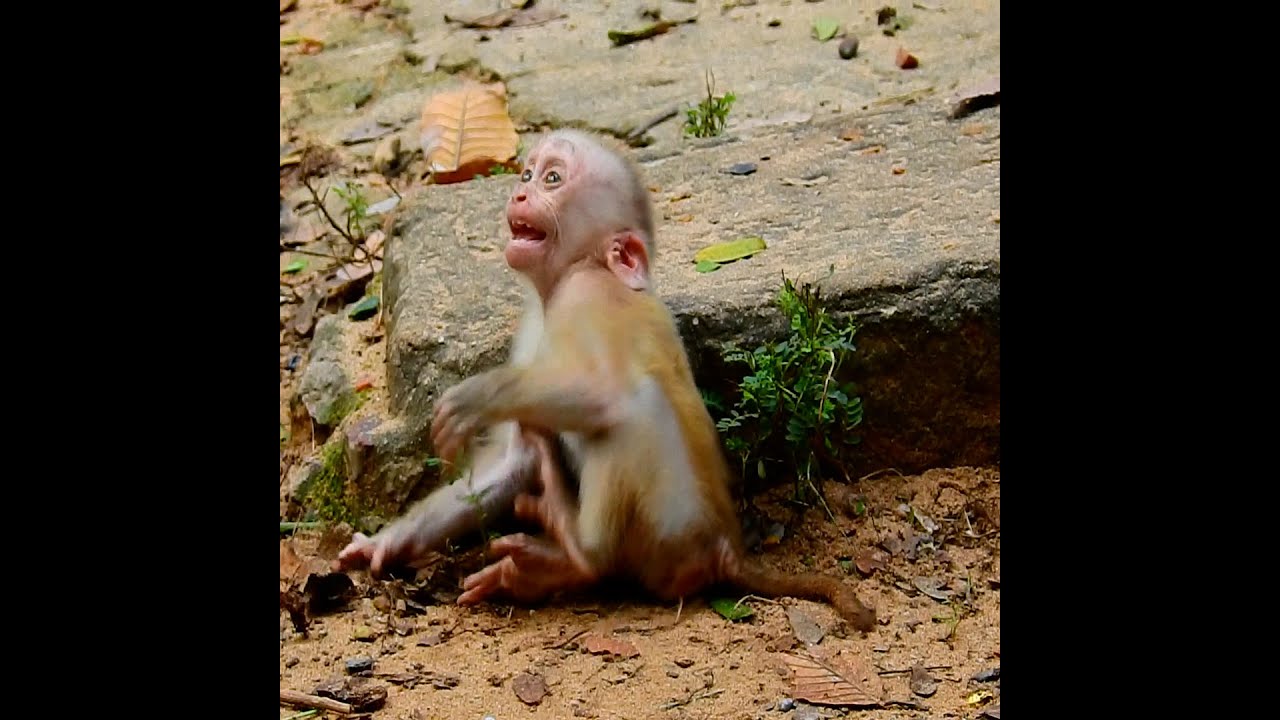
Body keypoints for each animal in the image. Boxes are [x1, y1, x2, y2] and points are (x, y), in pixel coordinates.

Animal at [430, 129, 877, 631]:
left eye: (552, 179)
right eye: (526, 175)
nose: (519, 193)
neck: (580, 269)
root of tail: (724, 544)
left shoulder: (582, 294)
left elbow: (604, 392)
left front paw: (473, 399)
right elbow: (510, 459)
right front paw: (385, 546)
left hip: (669, 530)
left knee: (630, 408)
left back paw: (582, 553)